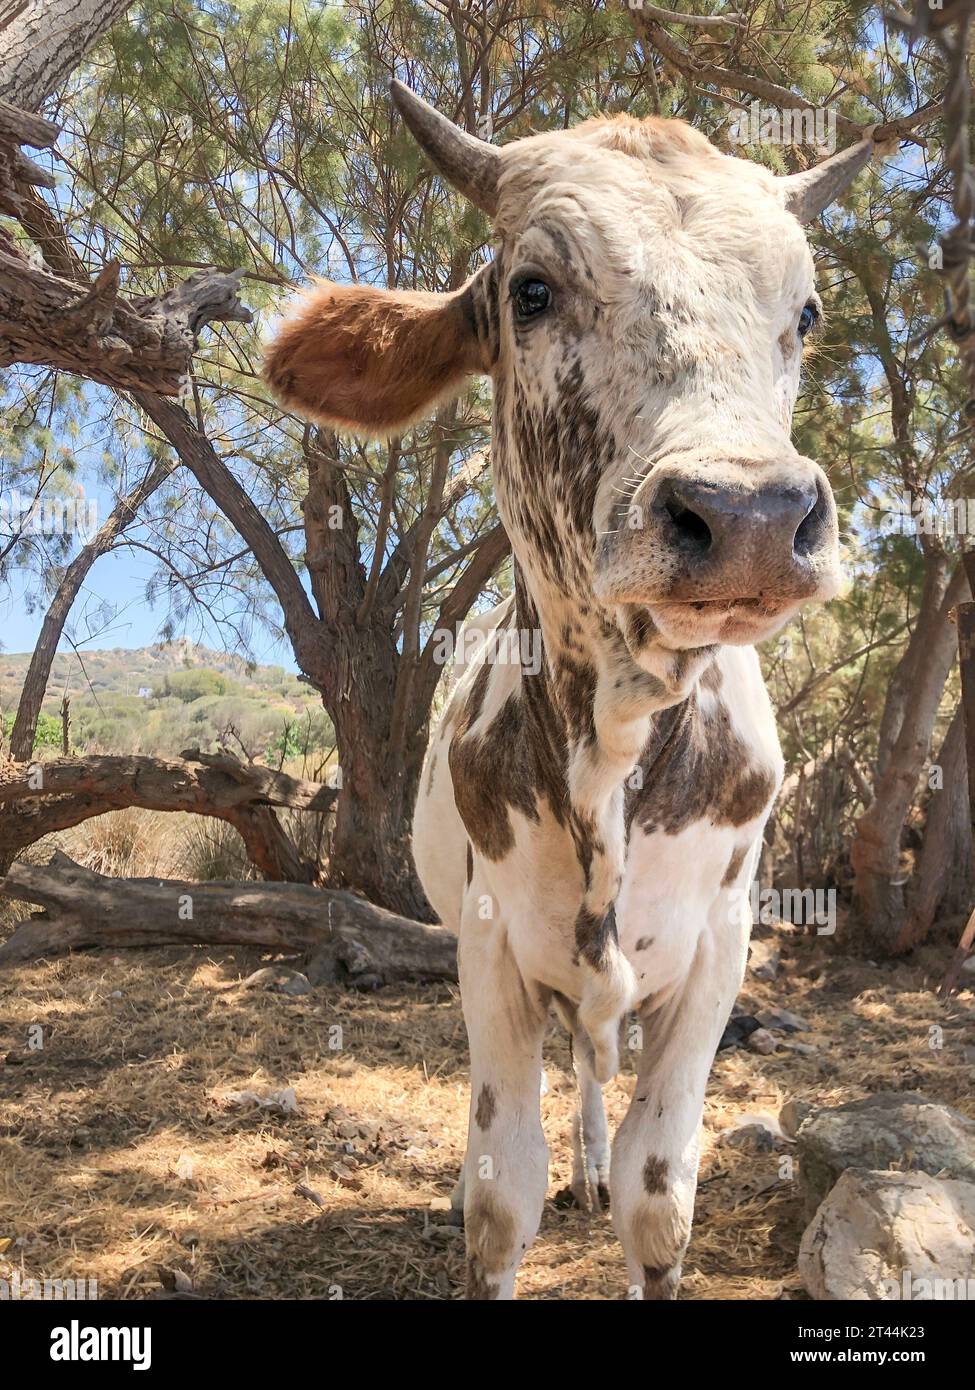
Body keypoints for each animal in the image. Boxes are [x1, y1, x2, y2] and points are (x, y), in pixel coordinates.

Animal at [263, 82, 879, 1300]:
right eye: (532, 291)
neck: (620, 739)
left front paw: (625, 1188)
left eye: (807, 312)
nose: (749, 515)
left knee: (607, 1078)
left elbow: (659, 1192)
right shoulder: (490, 948)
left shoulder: (720, 945)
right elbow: (503, 1191)